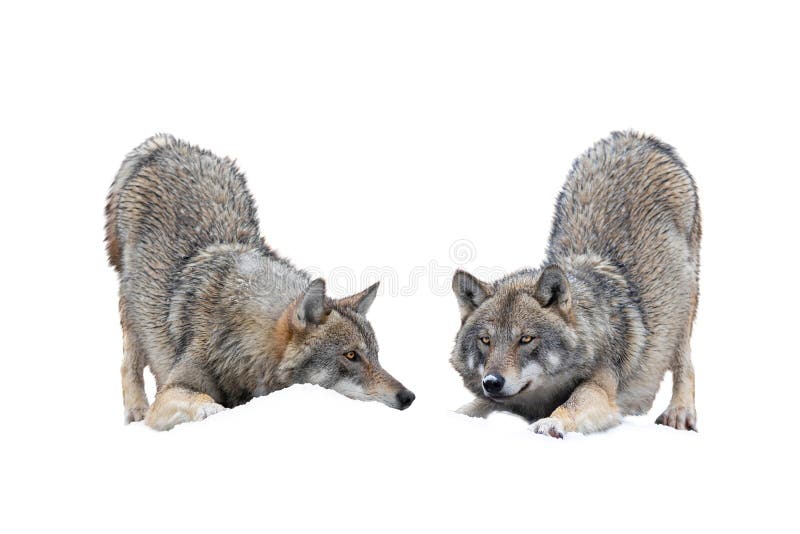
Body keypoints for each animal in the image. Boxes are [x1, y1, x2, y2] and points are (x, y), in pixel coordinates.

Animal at [105, 134, 415, 431]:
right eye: (351, 355)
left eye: (375, 355)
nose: (408, 396)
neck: (237, 337)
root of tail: (167, 144)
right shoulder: (171, 392)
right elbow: (200, 400)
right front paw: (212, 411)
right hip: (132, 310)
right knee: (128, 362)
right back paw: (135, 411)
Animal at [451, 131, 700, 438]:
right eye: (486, 340)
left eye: (526, 339)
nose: (492, 382)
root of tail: (634, 136)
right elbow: (472, 406)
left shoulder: (601, 388)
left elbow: (571, 405)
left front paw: (550, 423)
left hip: (684, 304)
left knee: (685, 362)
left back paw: (680, 412)